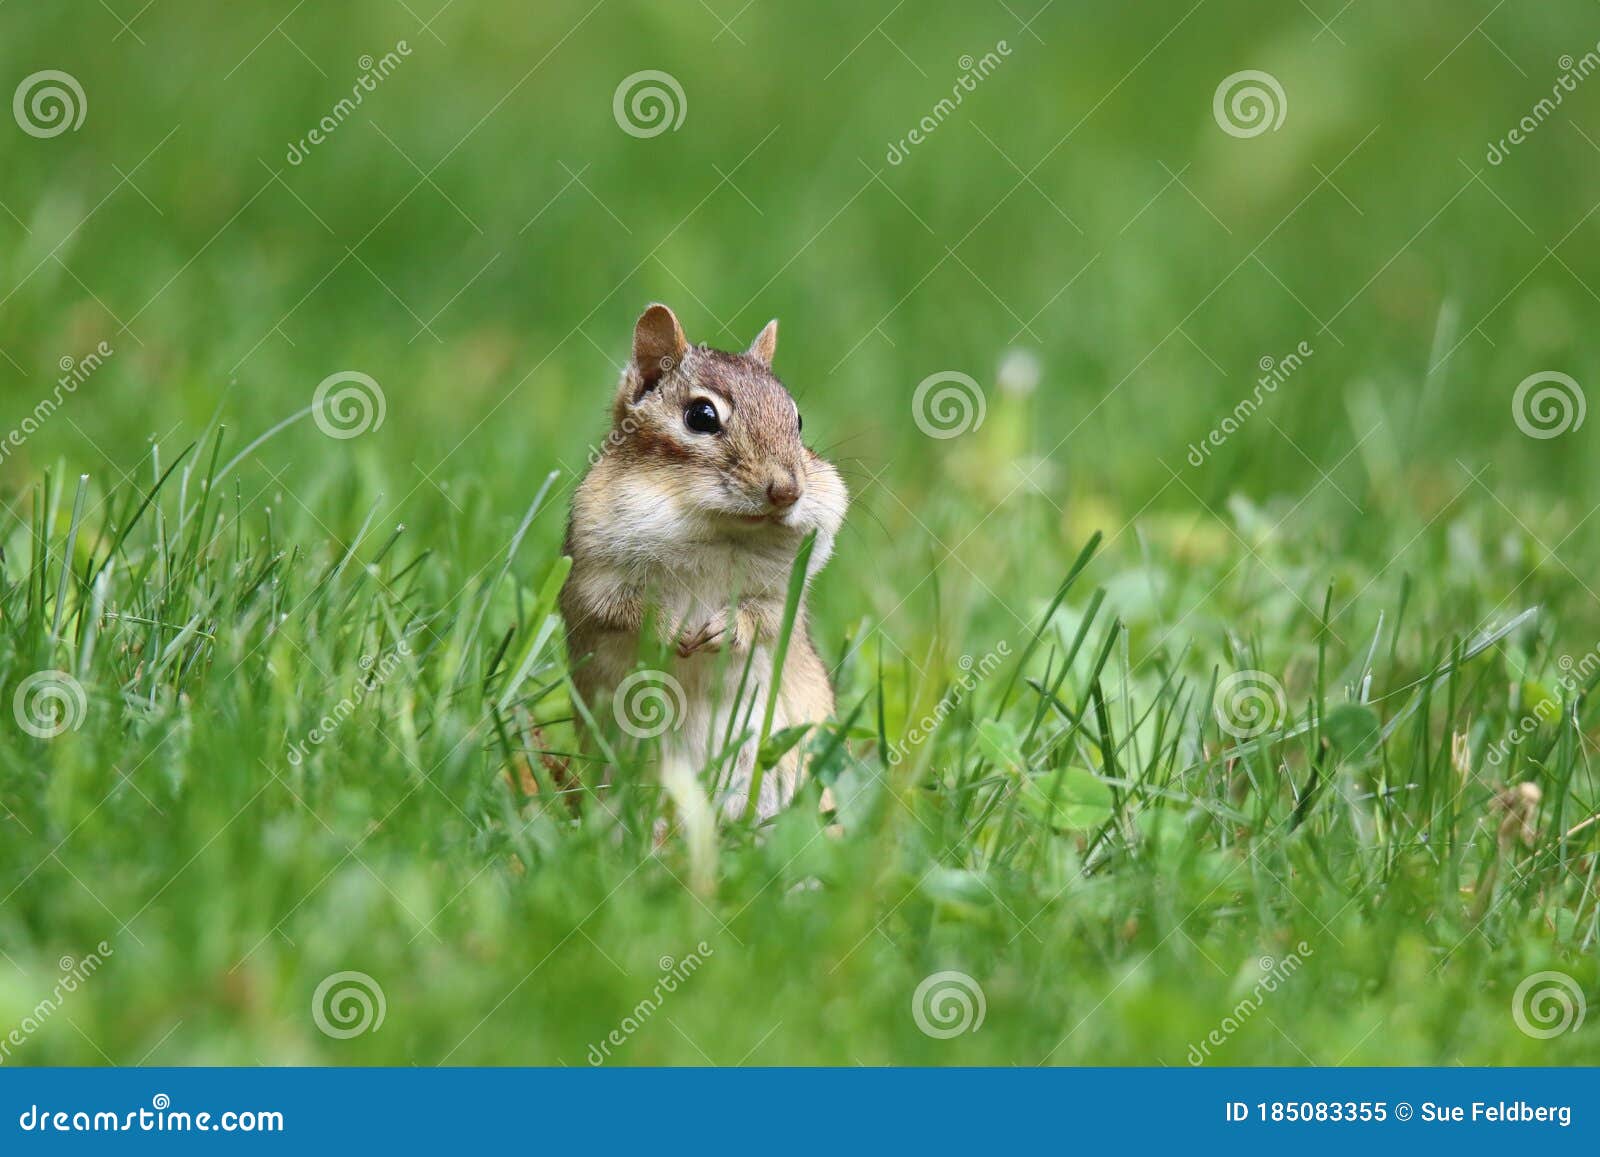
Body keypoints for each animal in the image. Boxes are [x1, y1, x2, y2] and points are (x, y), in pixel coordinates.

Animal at [560, 303, 849, 822]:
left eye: (797, 420)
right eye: (701, 416)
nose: (787, 490)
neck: (719, 531)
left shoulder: (784, 594)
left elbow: (770, 617)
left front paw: (727, 627)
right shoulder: (593, 580)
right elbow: (616, 609)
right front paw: (671, 626)